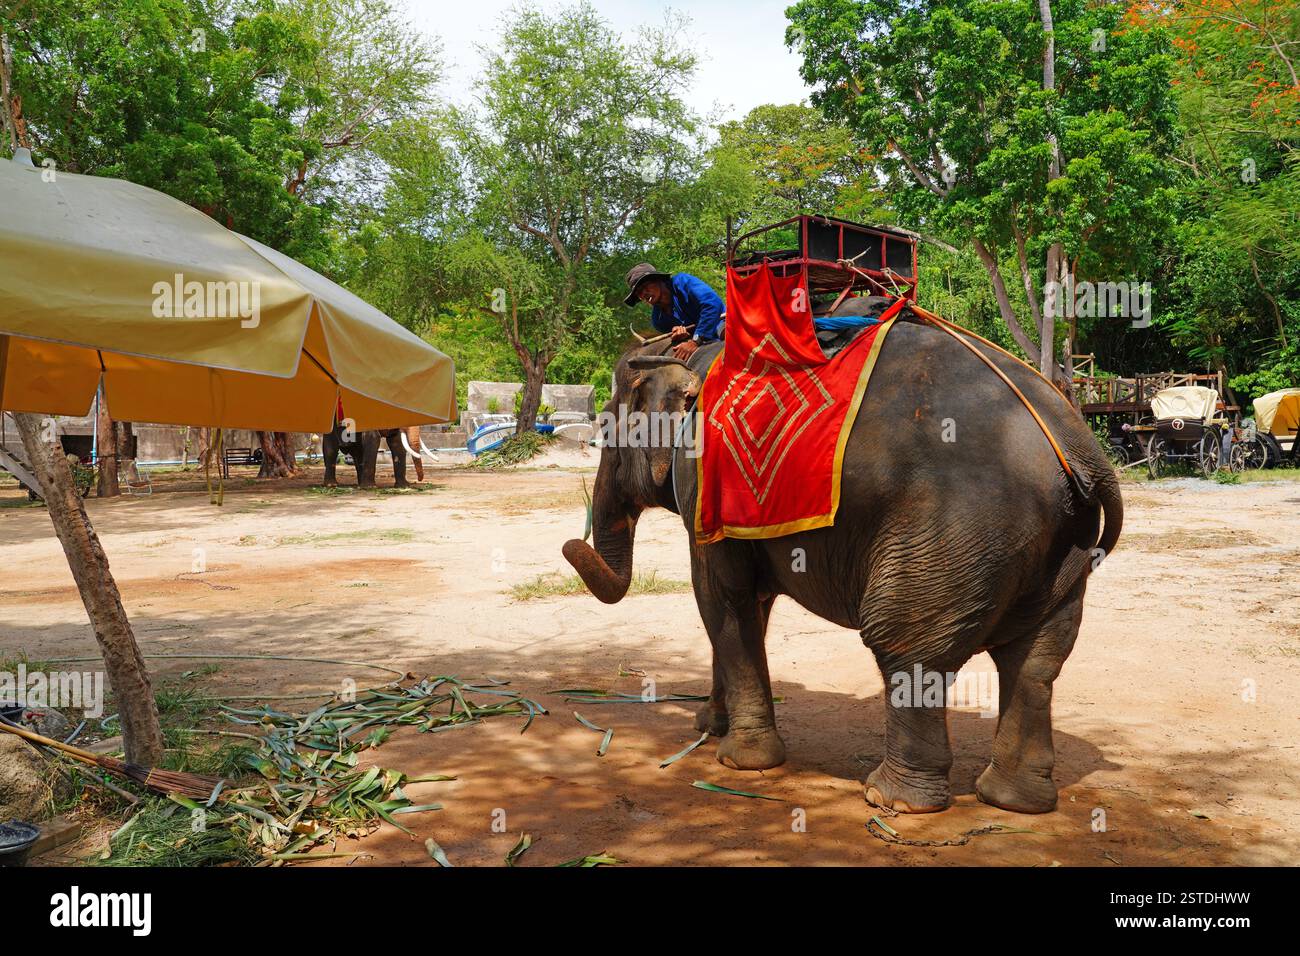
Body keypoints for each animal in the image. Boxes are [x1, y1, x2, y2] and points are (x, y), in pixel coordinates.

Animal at [562, 311, 1123, 814]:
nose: (572, 543)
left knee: (905, 642)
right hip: (1060, 548)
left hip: (954, 526)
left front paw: (741, 761)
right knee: (1037, 658)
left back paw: (891, 799)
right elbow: (750, 605)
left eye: (607, 425)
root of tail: (1078, 445)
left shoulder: (707, 483)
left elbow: (721, 597)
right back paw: (1014, 801)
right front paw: (709, 729)